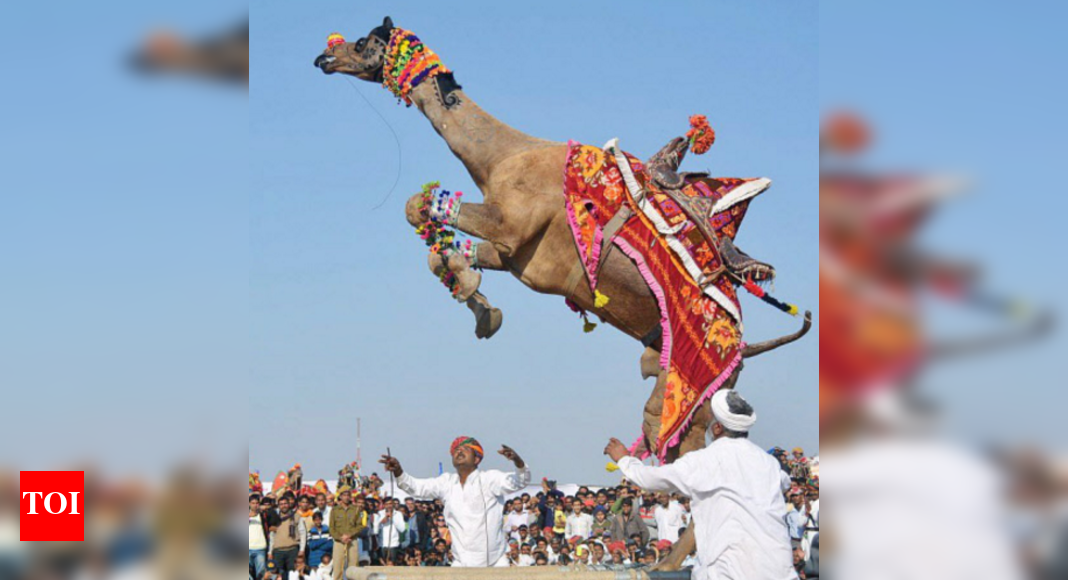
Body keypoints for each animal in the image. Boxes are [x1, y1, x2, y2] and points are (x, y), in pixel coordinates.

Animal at [315, 17, 812, 569]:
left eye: (366, 42)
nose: (324, 57)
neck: (502, 157)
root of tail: (745, 346)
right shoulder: (515, 255)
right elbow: (435, 237)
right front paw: (483, 311)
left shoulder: (512, 227)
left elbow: (418, 204)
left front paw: (477, 300)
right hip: (670, 382)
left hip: (695, 392)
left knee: (691, 461)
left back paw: (663, 561)